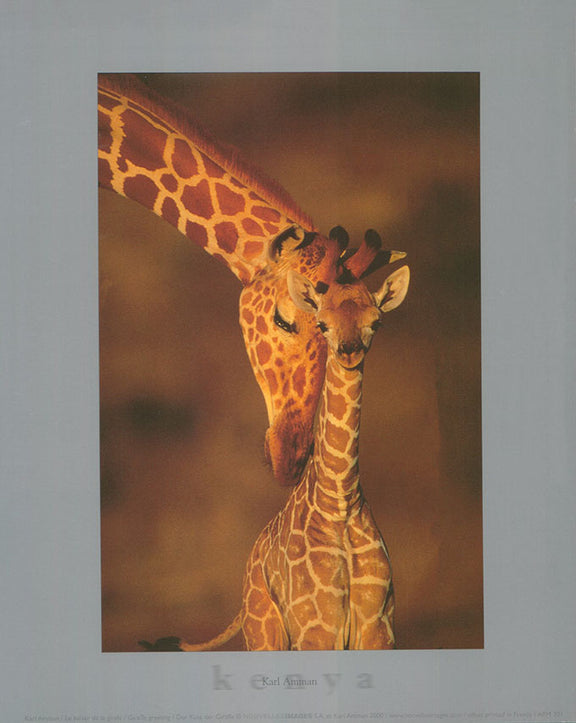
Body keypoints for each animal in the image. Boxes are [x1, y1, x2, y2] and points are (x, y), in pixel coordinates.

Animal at [142, 258, 410, 651]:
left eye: (375, 322)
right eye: (322, 324)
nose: (349, 351)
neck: (340, 500)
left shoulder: (379, 627)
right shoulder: (316, 630)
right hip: (264, 632)